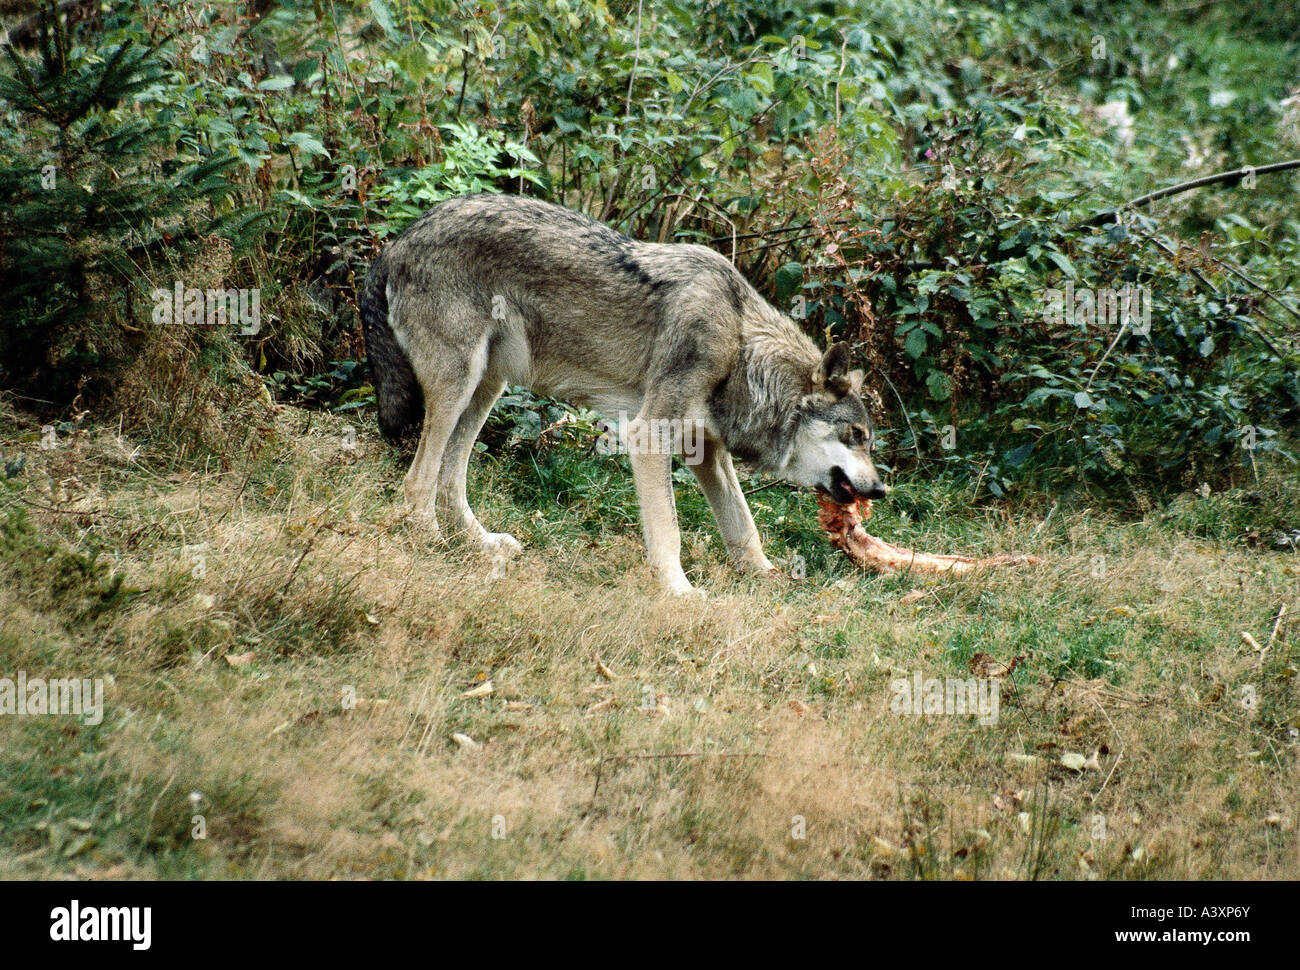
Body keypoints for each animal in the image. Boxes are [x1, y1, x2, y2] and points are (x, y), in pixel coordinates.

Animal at [360, 193, 887, 595]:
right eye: (857, 436)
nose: (881, 490)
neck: (740, 348)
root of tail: (396, 243)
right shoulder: (650, 436)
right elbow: (669, 531)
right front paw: (679, 592)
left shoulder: (706, 451)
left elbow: (743, 526)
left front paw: (768, 579)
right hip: (458, 388)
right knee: (419, 481)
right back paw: (431, 544)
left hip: (487, 389)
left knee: (451, 481)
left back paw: (480, 544)